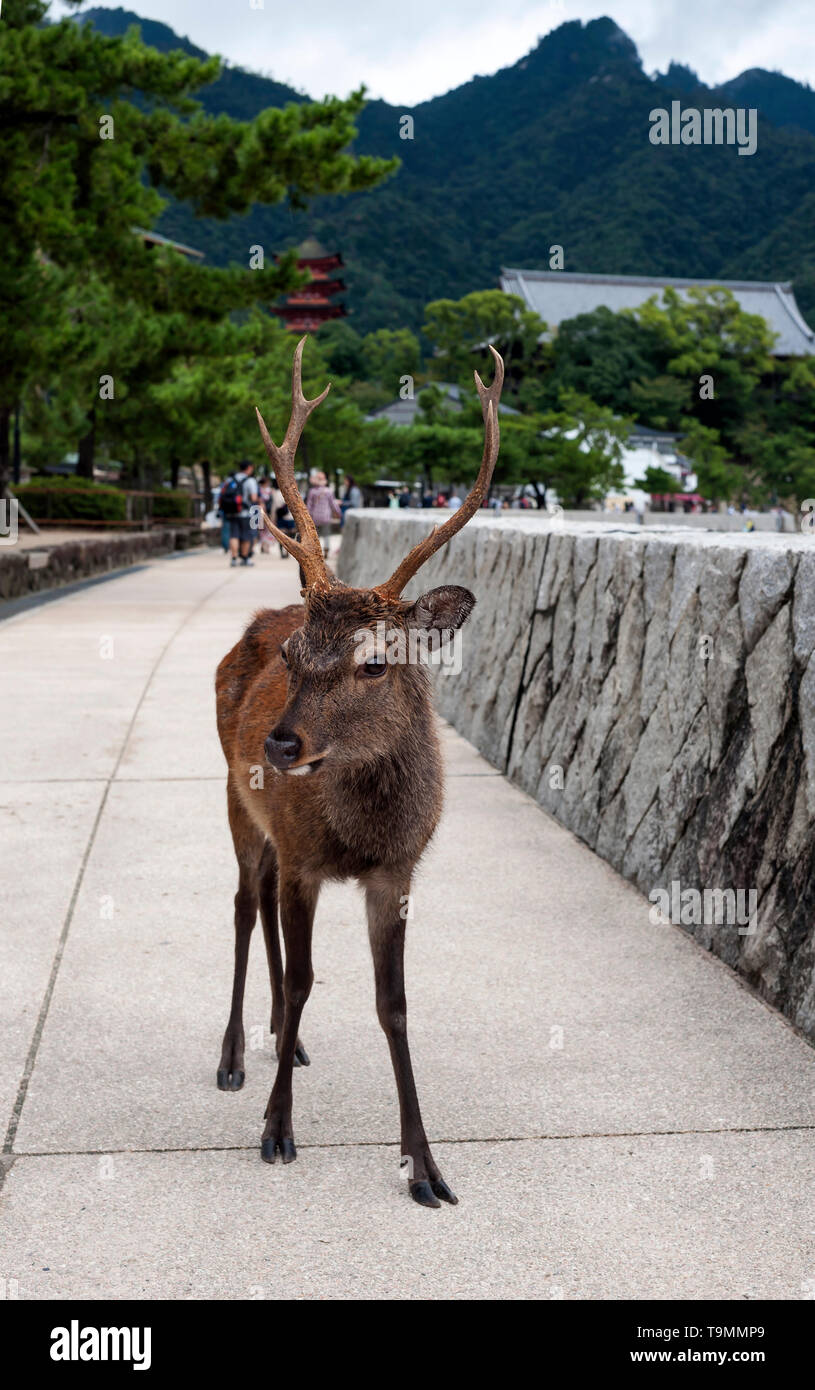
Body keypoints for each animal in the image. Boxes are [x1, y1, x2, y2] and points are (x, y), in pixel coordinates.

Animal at [214, 336, 503, 1207]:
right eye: (293, 654)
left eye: (375, 661)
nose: (279, 747)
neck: (361, 834)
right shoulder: (304, 858)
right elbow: (308, 978)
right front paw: (277, 1130)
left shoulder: (397, 871)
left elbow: (393, 1003)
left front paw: (426, 1166)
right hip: (235, 803)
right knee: (244, 908)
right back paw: (236, 1056)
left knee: (267, 922)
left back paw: (288, 1040)